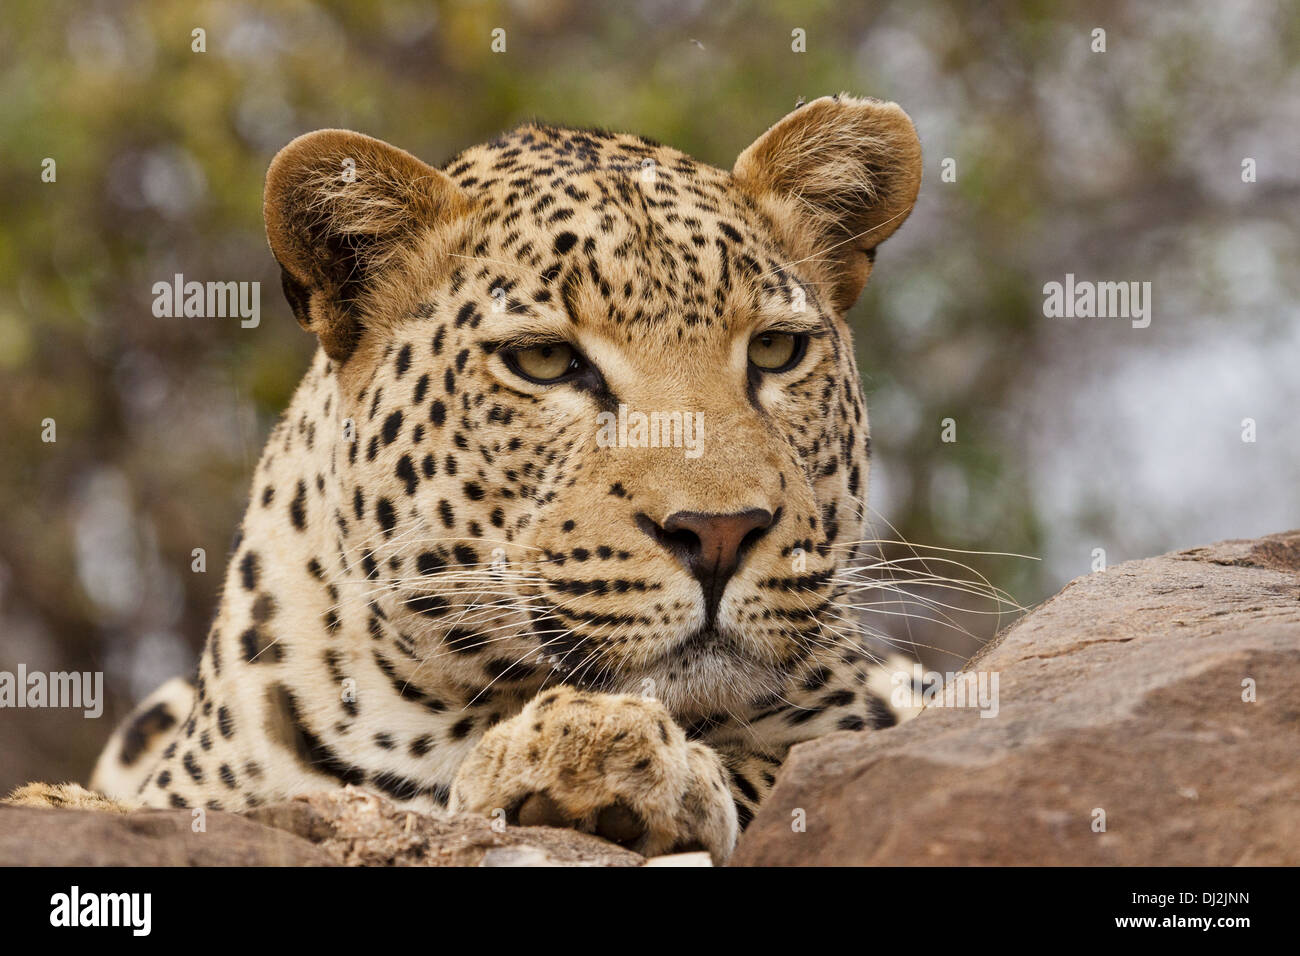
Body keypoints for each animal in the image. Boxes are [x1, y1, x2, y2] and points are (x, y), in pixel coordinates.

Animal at [7, 94, 923, 864]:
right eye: (545, 361)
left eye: (776, 349)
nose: (722, 534)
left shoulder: (842, 730)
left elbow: (784, 768)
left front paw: (607, 757)